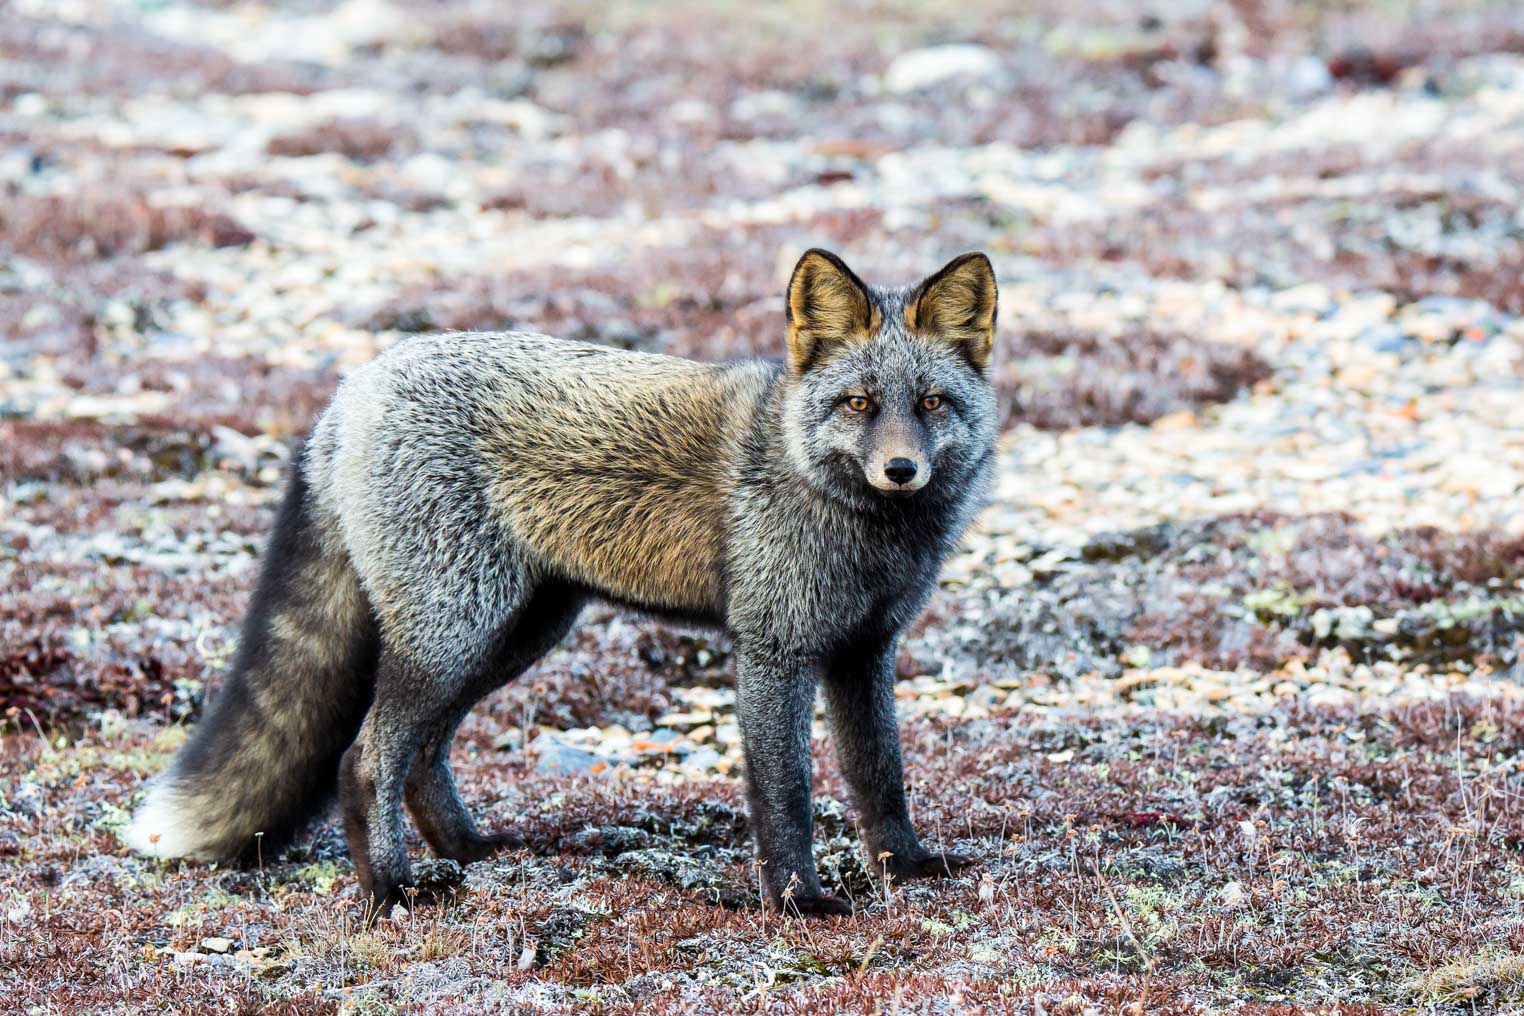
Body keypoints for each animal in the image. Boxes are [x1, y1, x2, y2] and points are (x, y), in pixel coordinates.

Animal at [124, 248, 1000, 918]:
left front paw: (905, 868)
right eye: (858, 403)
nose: (901, 470)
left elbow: (881, 777)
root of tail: (353, 388)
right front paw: (799, 903)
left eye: (931, 403)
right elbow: (785, 798)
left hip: (514, 633)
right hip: (454, 633)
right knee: (365, 760)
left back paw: (472, 851)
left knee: (423, 754)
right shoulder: (774, 652)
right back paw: (394, 891)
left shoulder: (865, 650)